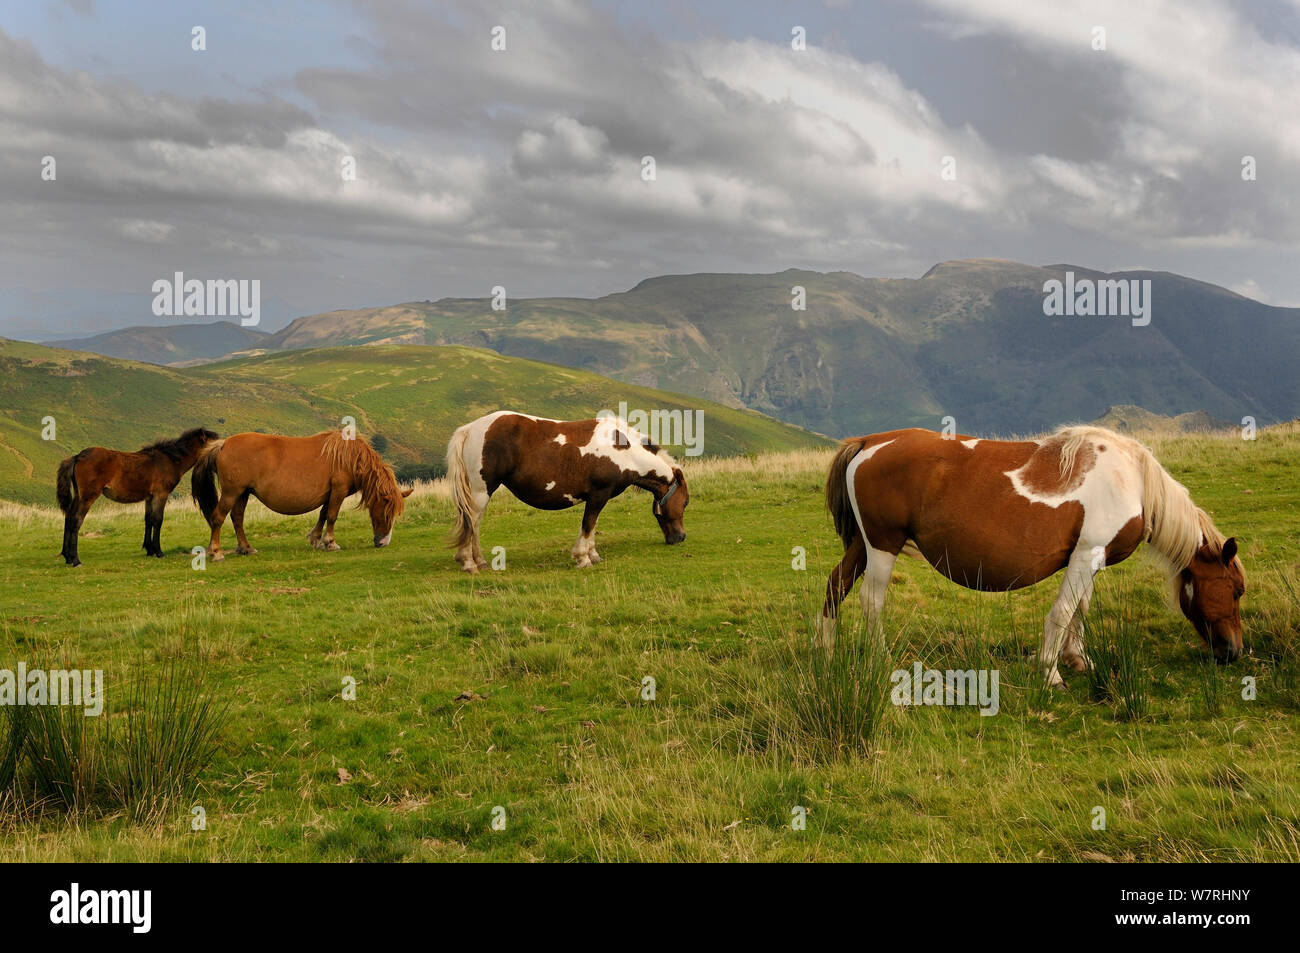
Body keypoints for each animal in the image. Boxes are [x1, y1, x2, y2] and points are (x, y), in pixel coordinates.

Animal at [55, 427, 219, 567]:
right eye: (214, 441)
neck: (169, 459)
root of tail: (78, 456)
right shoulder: (160, 494)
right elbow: (158, 520)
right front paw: (158, 551)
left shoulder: (149, 497)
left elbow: (149, 519)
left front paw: (149, 549)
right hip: (87, 497)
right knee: (76, 521)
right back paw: (75, 559)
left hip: (78, 496)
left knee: (68, 518)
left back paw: (67, 557)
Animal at [191, 430, 411, 561]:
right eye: (386, 514)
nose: (383, 543)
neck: (348, 457)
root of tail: (223, 444)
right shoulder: (338, 491)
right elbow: (332, 516)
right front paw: (330, 543)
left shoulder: (330, 493)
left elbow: (323, 515)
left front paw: (316, 539)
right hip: (231, 492)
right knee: (218, 518)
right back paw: (216, 552)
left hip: (242, 493)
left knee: (237, 519)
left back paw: (245, 548)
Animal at [445, 411, 689, 571]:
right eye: (685, 502)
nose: (680, 537)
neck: (624, 451)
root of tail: (470, 429)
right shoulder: (598, 495)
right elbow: (588, 525)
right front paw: (583, 558)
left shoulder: (598, 497)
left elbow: (593, 526)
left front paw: (593, 555)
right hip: (481, 491)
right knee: (471, 522)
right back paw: (469, 563)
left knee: (475, 525)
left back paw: (480, 561)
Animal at [820, 426, 1245, 686]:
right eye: (1237, 590)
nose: (1235, 651)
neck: (1131, 479)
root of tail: (870, 441)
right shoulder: (1086, 555)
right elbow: (1063, 611)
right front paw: (1050, 672)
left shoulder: (1090, 559)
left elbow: (1080, 610)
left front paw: (1077, 659)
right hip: (882, 546)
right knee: (871, 600)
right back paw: (879, 659)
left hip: (863, 545)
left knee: (835, 587)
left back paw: (824, 650)